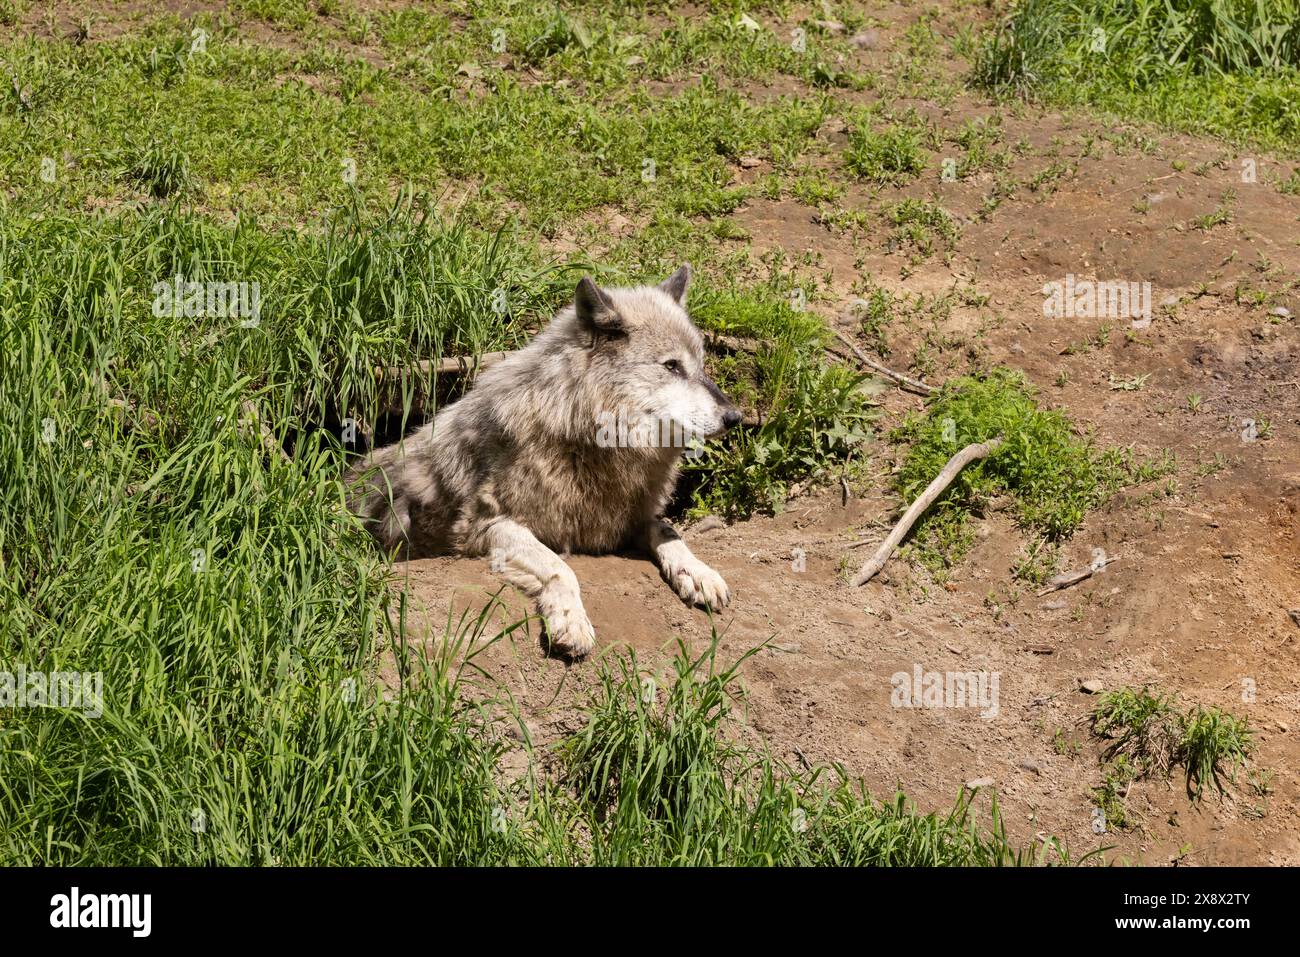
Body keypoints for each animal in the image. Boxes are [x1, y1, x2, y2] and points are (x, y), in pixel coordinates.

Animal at [347, 265, 741, 657]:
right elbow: (559, 566)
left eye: (701, 366)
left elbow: (668, 529)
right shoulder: (486, 526)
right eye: (672, 366)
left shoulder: (627, 519)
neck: (584, 439)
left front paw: (699, 573)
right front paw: (570, 621)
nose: (735, 416)